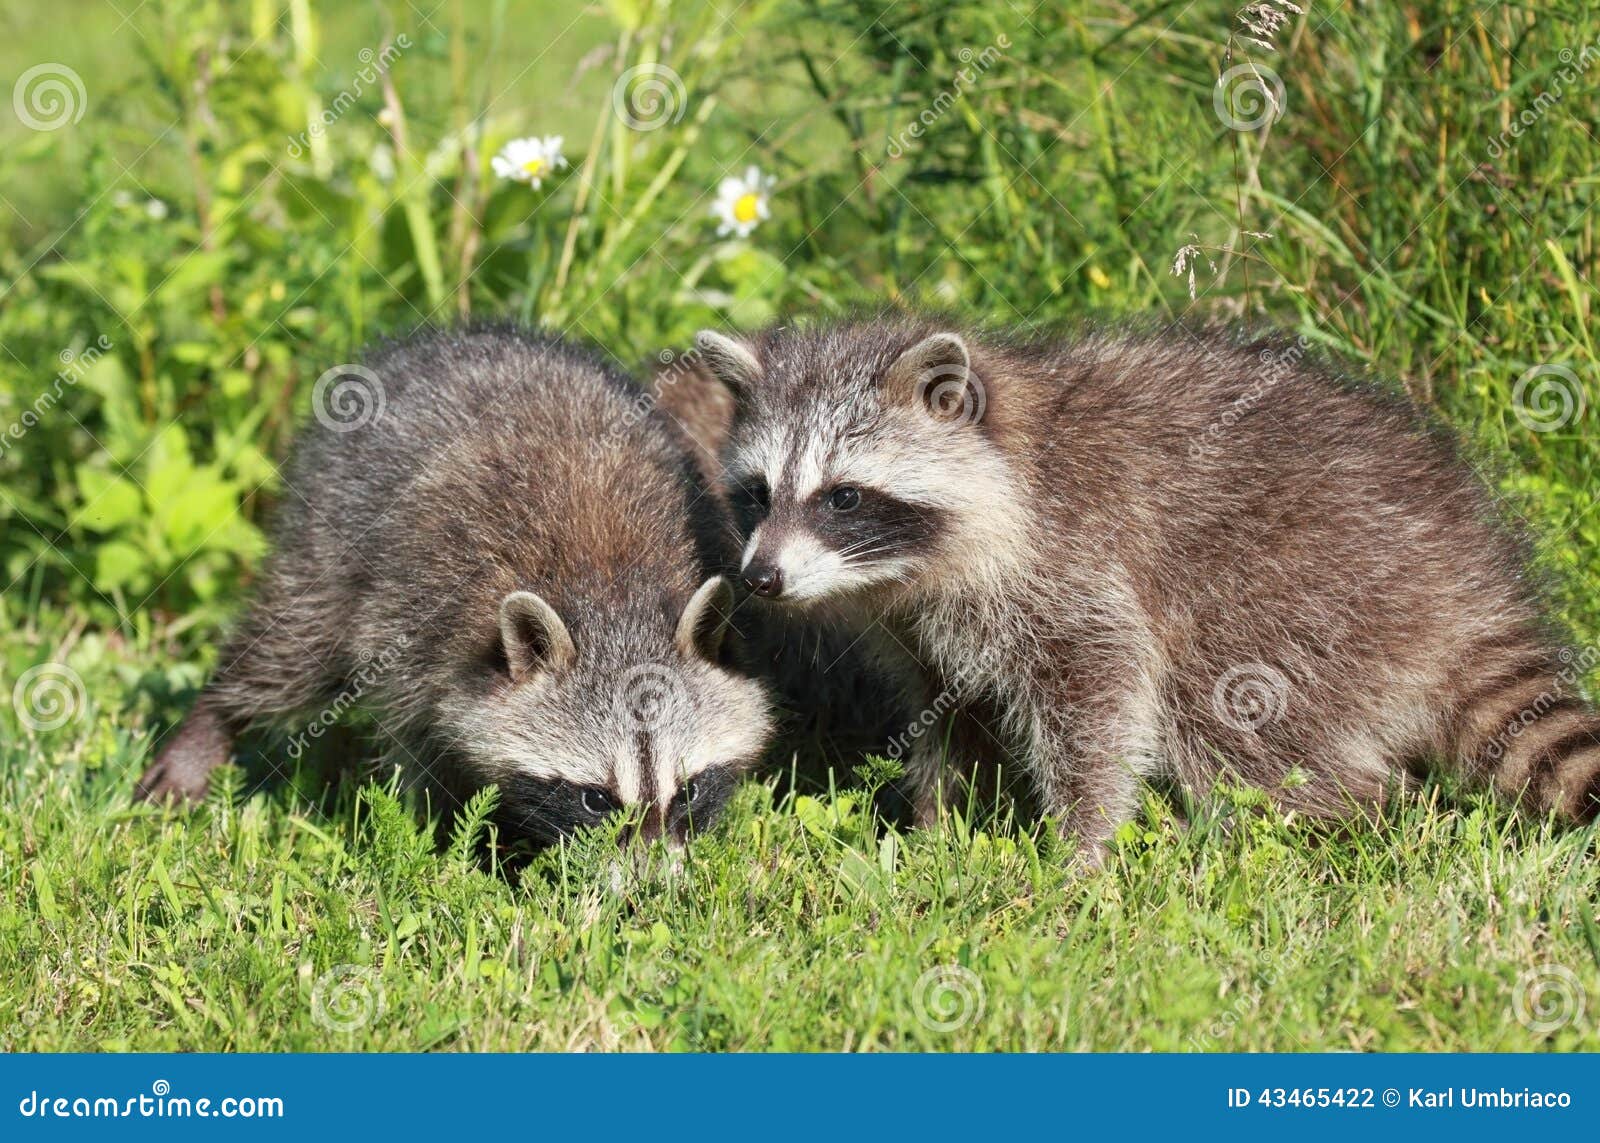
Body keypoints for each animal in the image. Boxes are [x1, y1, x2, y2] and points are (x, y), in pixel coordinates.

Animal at [137, 327, 773, 849]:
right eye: (595, 799)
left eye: (689, 790)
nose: (647, 895)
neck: (615, 598)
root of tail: (447, 339)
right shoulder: (416, 620)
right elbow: (416, 738)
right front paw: (437, 835)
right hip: (331, 528)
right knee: (291, 651)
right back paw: (214, 719)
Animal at [694, 315, 1600, 861]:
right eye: (758, 494)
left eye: (842, 497)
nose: (761, 577)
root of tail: (1467, 578)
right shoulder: (927, 624)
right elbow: (953, 708)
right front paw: (938, 826)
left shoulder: (1072, 563)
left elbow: (1100, 695)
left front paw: (1081, 848)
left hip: (1306, 588)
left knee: (1231, 718)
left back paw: (1331, 822)